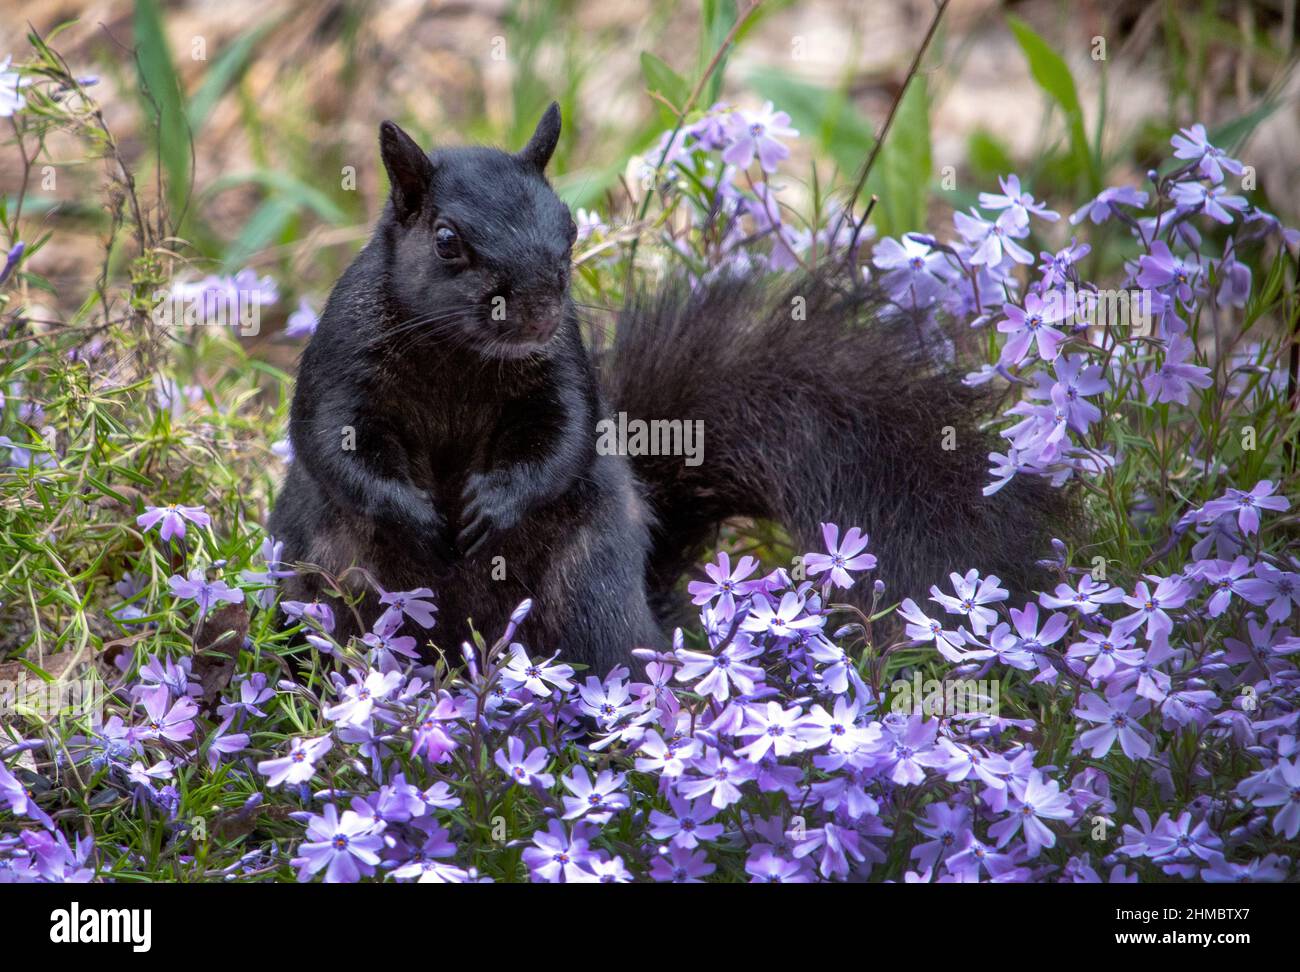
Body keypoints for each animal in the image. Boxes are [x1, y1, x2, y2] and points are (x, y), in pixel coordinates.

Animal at [268, 103, 1066, 673]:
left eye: (567, 229)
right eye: (446, 241)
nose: (539, 308)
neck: (461, 356)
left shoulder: (561, 369)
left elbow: (564, 441)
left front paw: (493, 506)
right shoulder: (343, 360)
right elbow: (332, 444)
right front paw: (418, 515)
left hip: (585, 588)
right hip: (329, 584)